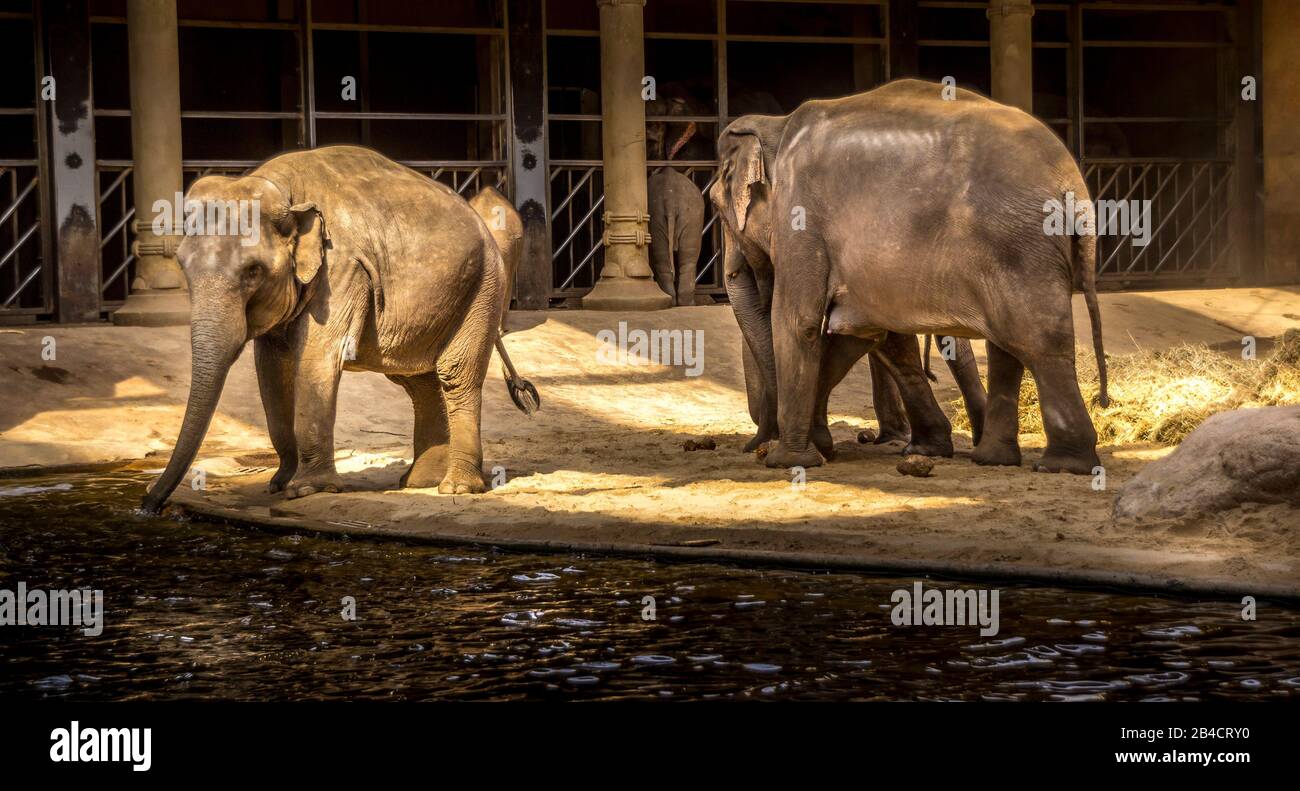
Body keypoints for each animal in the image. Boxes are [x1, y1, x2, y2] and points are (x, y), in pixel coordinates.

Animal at [141, 146, 533, 513]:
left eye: (253, 270)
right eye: (182, 265)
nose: (147, 504)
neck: (284, 190)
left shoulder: (341, 268)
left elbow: (316, 358)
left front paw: (306, 490)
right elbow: (271, 369)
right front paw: (280, 484)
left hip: (484, 285)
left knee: (455, 373)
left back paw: (457, 487)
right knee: (416, 380)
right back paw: (419, 481)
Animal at [711, 79, 1108, 474]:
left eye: (717, 204)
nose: (757, 447)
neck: (777, 126)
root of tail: (1072, 185)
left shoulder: (801, 213)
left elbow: (799, 321)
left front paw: (792, 461)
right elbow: (870, 331)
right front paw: (827, 447)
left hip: (1019, 247)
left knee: (1039, 342)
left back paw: (1063, 464)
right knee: (1007, 347)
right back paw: (994, 458)